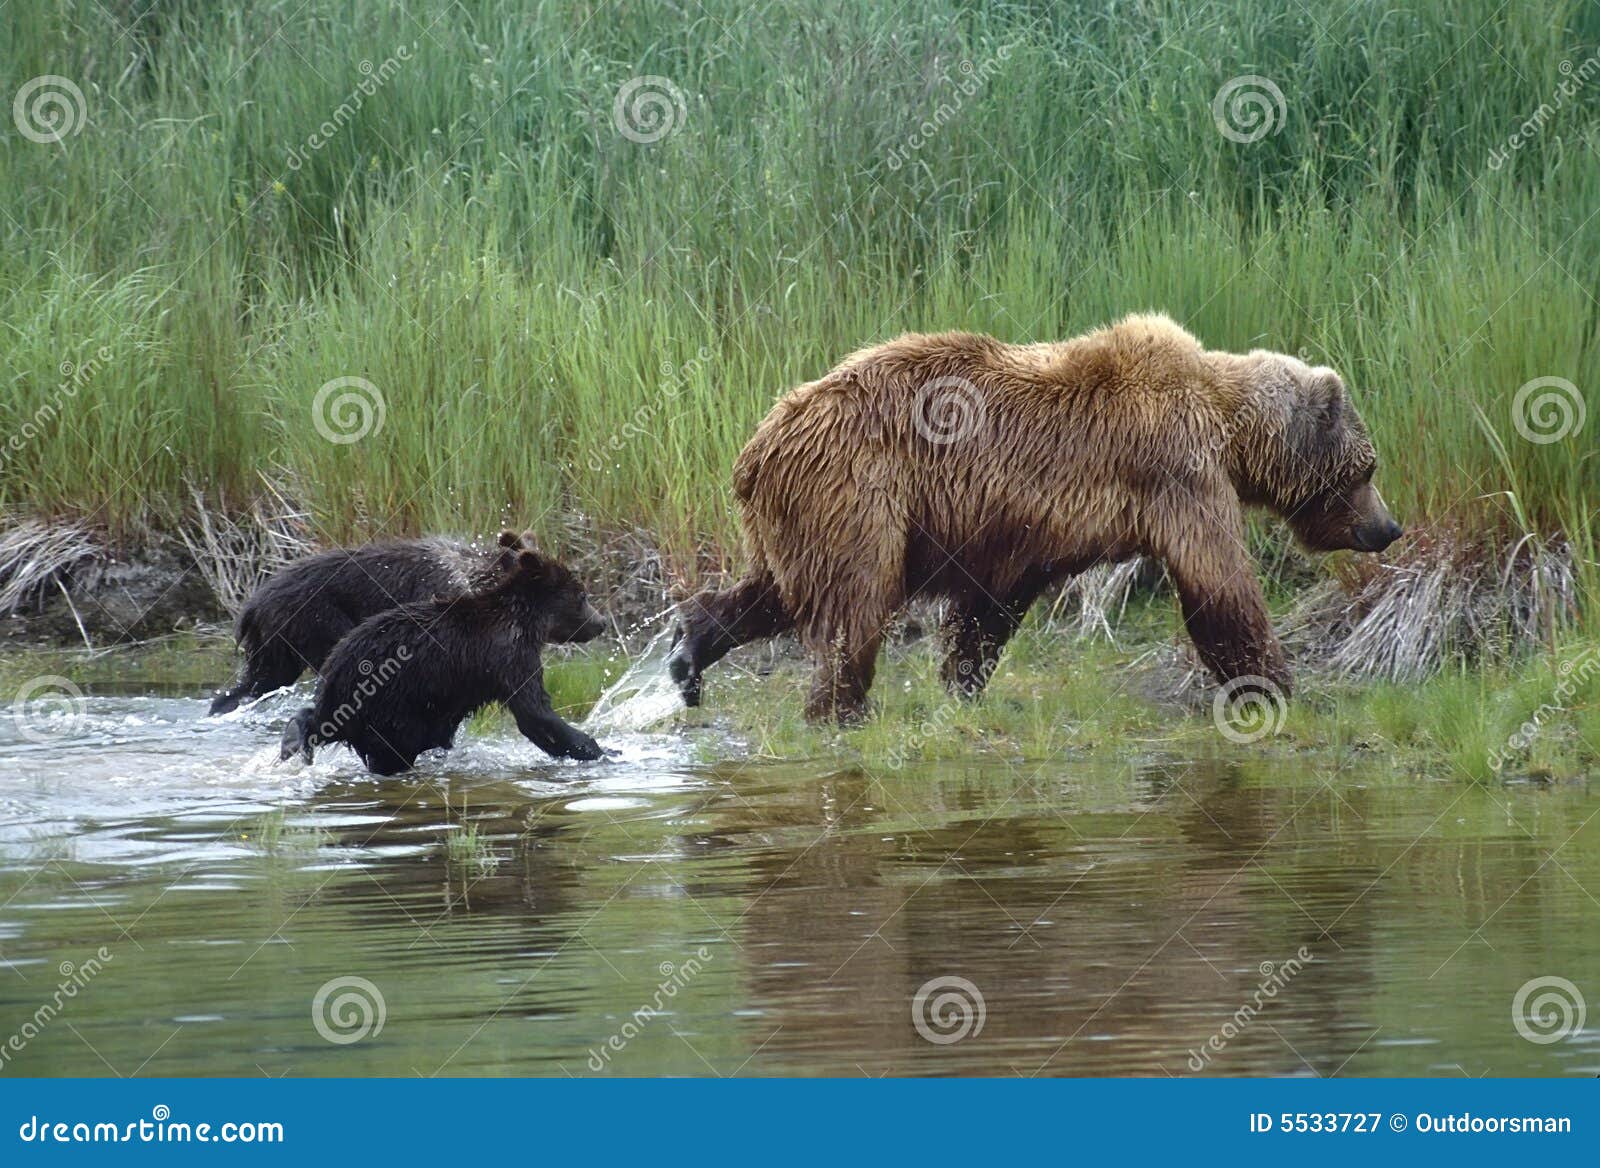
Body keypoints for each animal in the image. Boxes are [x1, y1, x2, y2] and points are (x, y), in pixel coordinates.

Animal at [280, 548, 606, 775]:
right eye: (582, 595)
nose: (601, 622)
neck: (525, 622)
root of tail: (335, 672)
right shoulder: (508, 658)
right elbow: (535, 713)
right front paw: (601, 750)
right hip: (390, 707)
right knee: (394, 749)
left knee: (318, 720)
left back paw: (292, 741)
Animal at [668, 313, 1402, 723]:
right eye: (1367, 469)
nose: (1388, 528)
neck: (1227, 419)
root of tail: (758, 445)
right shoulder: (1179, 471)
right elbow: (1218, 585)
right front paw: (1277, 686)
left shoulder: (1019, 533)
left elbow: (990, 607)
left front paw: (962, 685)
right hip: (858, 489)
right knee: (855, 601)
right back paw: (839, 708)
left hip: (801, 512)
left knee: (778, 589)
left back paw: (690, 651)